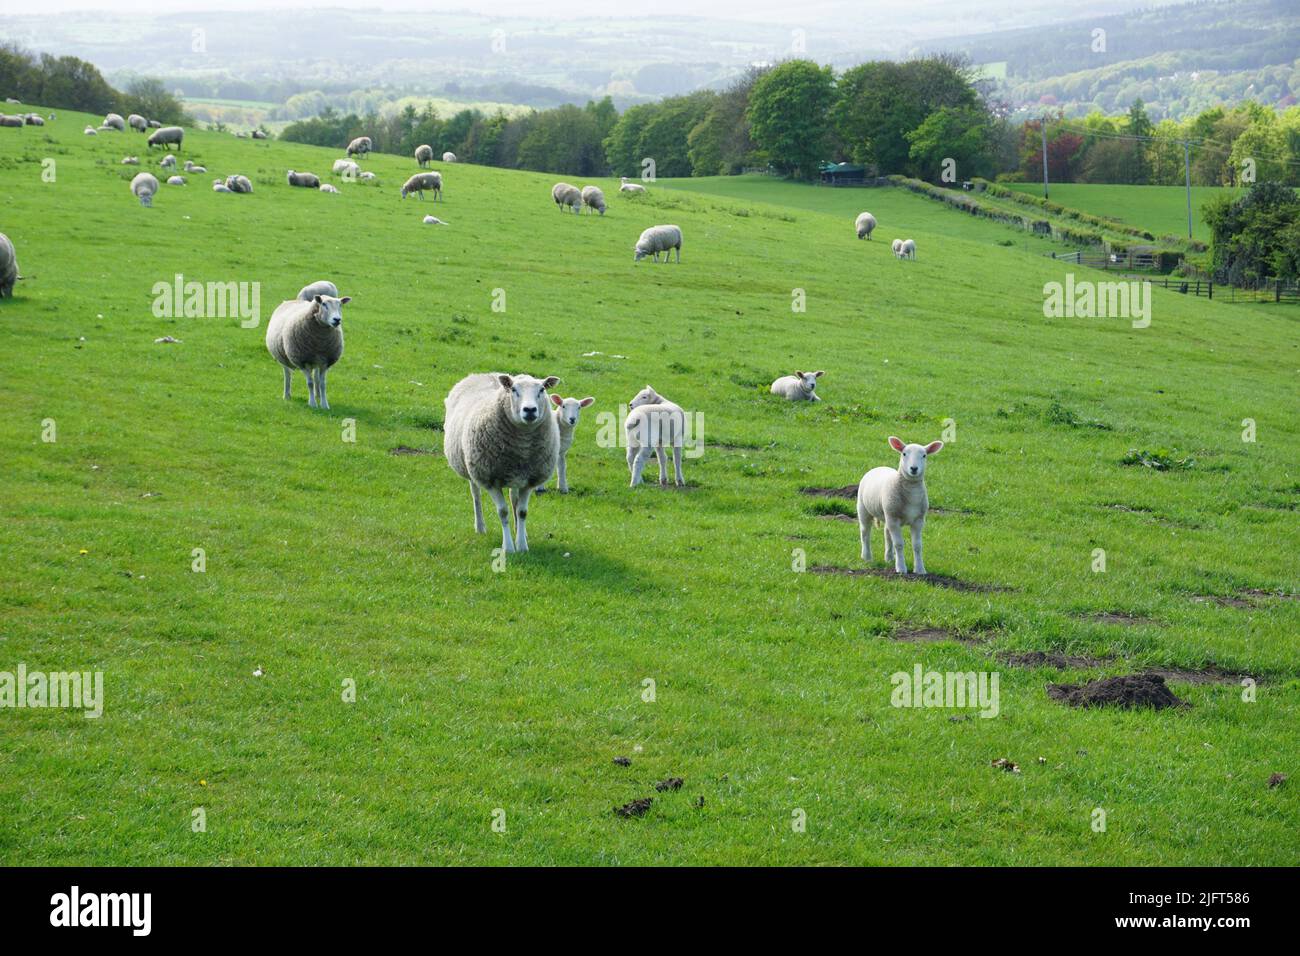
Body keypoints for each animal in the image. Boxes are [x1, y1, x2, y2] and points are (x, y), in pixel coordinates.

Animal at [443, 372, 561, 554]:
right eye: (513, 390)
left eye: (542, 389)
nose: (529, 410)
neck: (522, 445)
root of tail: (481, 374)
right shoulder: (490, 480)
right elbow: (503, 512)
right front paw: (509, 547)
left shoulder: (529, 480)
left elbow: (522, 511)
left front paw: (522, 544)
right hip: (473, 471)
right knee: (476, 495)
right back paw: (480, 527)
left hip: (516, 476)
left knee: (514, 499)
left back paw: (519, 530)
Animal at [857, 436, 944, 575]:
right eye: (904, 454)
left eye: (924, 455)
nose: (914, 468)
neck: (912, 494)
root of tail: (879, 467)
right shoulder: (894, 518)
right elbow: (899, 544)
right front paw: (901, 568)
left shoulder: (918, 520)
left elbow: (917, 546)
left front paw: (920, 569)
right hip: (864, 509)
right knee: (865, 533)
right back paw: (867, 557)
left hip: (887, 513)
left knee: (887, 534)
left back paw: (889, 558)